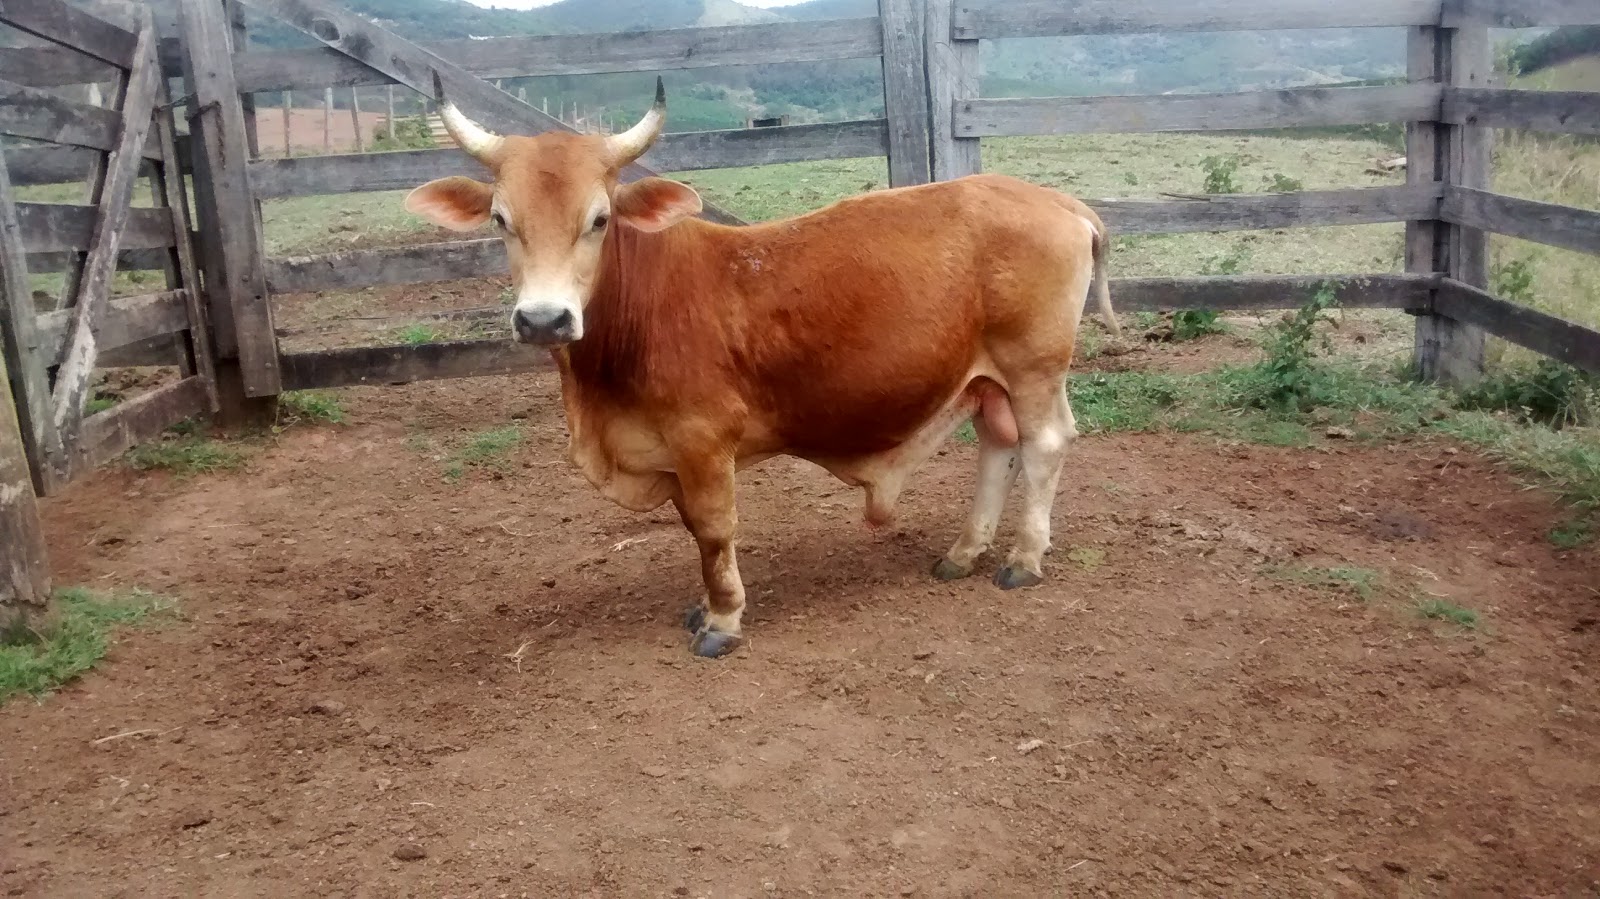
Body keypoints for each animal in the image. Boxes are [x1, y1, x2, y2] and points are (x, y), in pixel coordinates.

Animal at [404, 75, 1119, 658]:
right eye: (501, 219)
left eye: (599, 219)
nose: (544, 319)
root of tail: (1061, 203)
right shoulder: (674, 456)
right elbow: (695, 531)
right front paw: (704, 607)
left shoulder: (702, 440)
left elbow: (715, 530)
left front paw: (723, 621)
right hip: (990, 377)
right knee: (999, 442)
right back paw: (964, 551)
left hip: (1034, 366)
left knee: (1044, 443)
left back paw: (1024, 559)